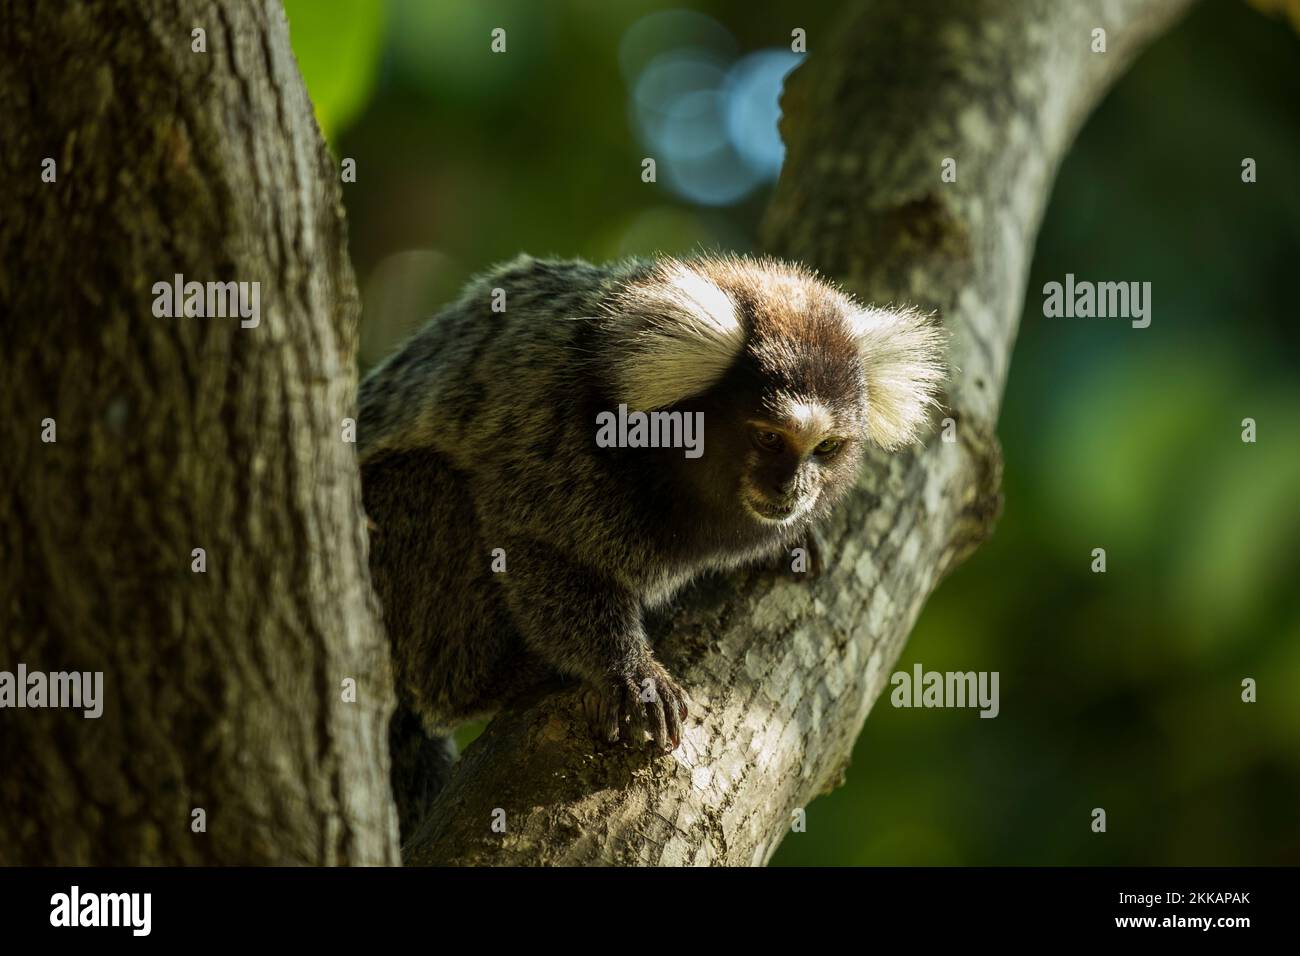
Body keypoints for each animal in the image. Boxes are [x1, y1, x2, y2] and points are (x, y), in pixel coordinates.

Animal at [357, 253, 946, 840]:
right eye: (769, 437)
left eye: (826, 447)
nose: (792, 488)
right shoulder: (555, 433)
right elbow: (536, 544)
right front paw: (630, 670)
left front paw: (790, 541)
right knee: (431, 485)